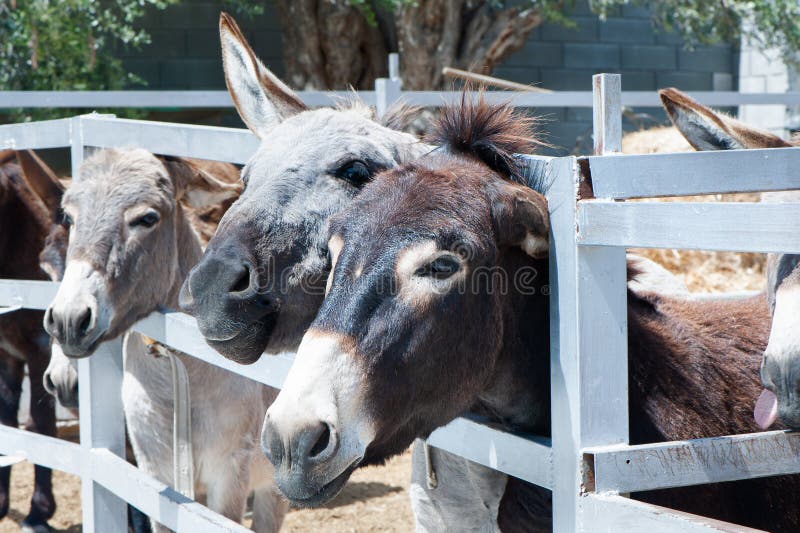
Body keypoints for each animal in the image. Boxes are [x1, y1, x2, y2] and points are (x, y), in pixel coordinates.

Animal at [42, 148, 286, 532]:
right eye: (69, 216)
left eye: (147, 218)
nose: (69, 320)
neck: (180, 372)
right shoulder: (156, 475)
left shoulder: (228, 474)